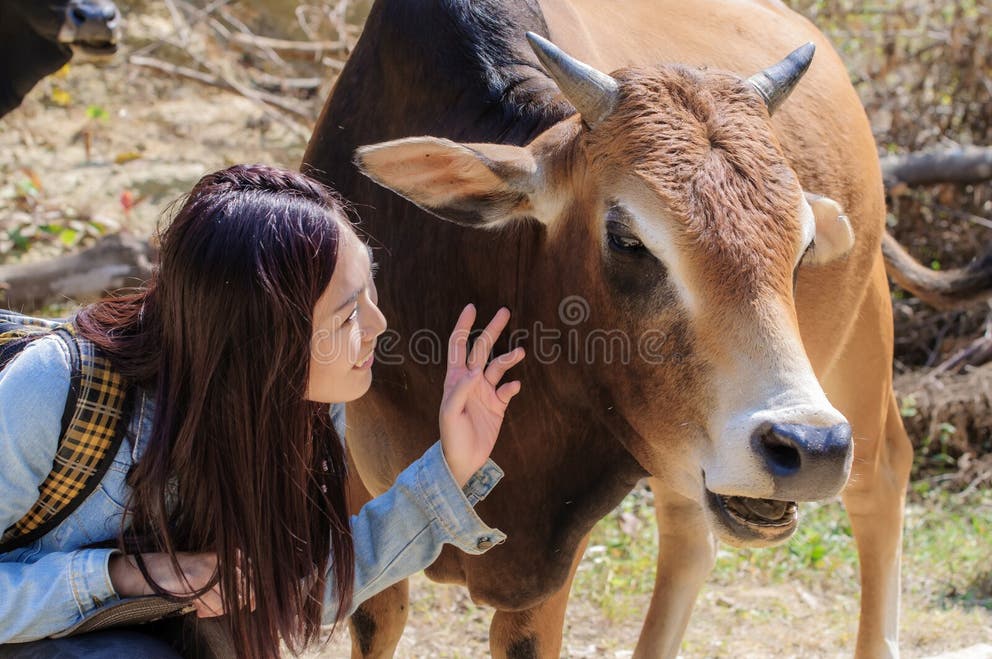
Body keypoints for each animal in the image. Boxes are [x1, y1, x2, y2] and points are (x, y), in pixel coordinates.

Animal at [302, 1, 969, 657]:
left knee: (880, 478)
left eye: (803, 246)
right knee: (693, 535)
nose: (810, 448)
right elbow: (377, 618)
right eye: (626, 239)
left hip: (857, 340)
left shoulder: (555, 545)